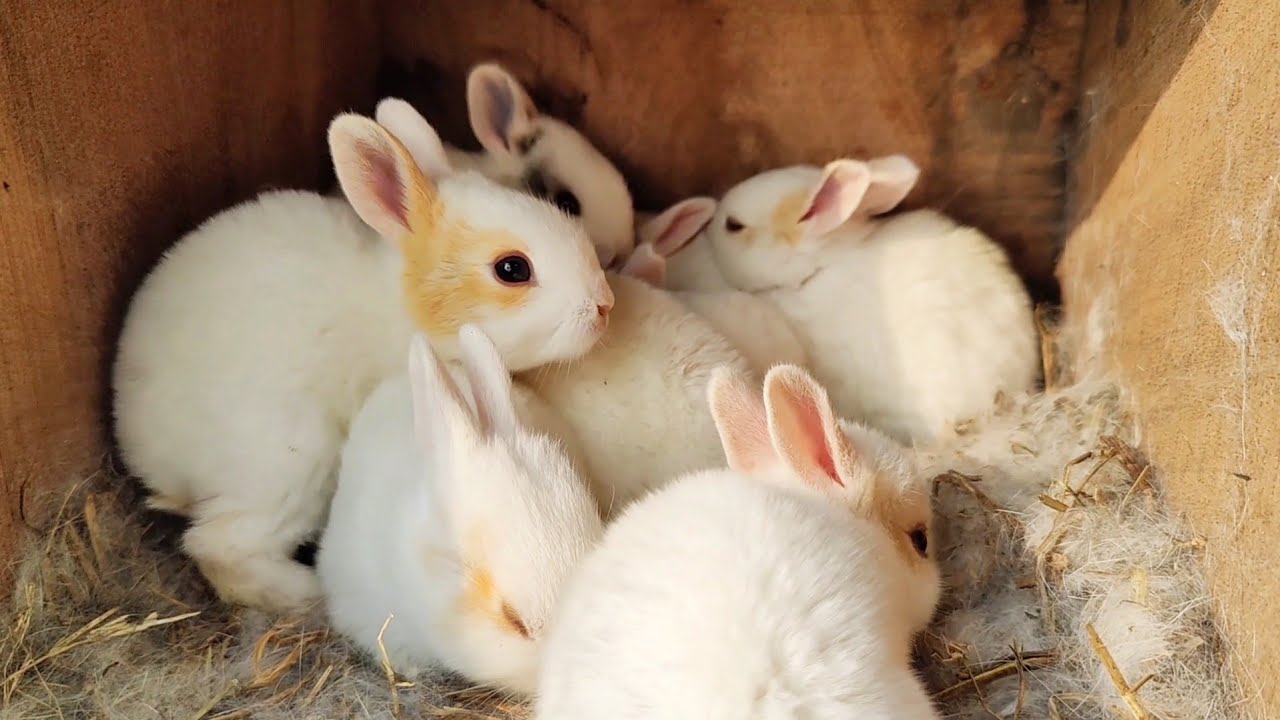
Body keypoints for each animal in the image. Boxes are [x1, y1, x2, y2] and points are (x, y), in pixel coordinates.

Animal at [110, 98, 613, 613]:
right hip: (291, 467)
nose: (603, 305)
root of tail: (145, 450)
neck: (402, 307)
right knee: (216, 548)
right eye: (512, 269)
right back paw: (307, 591)